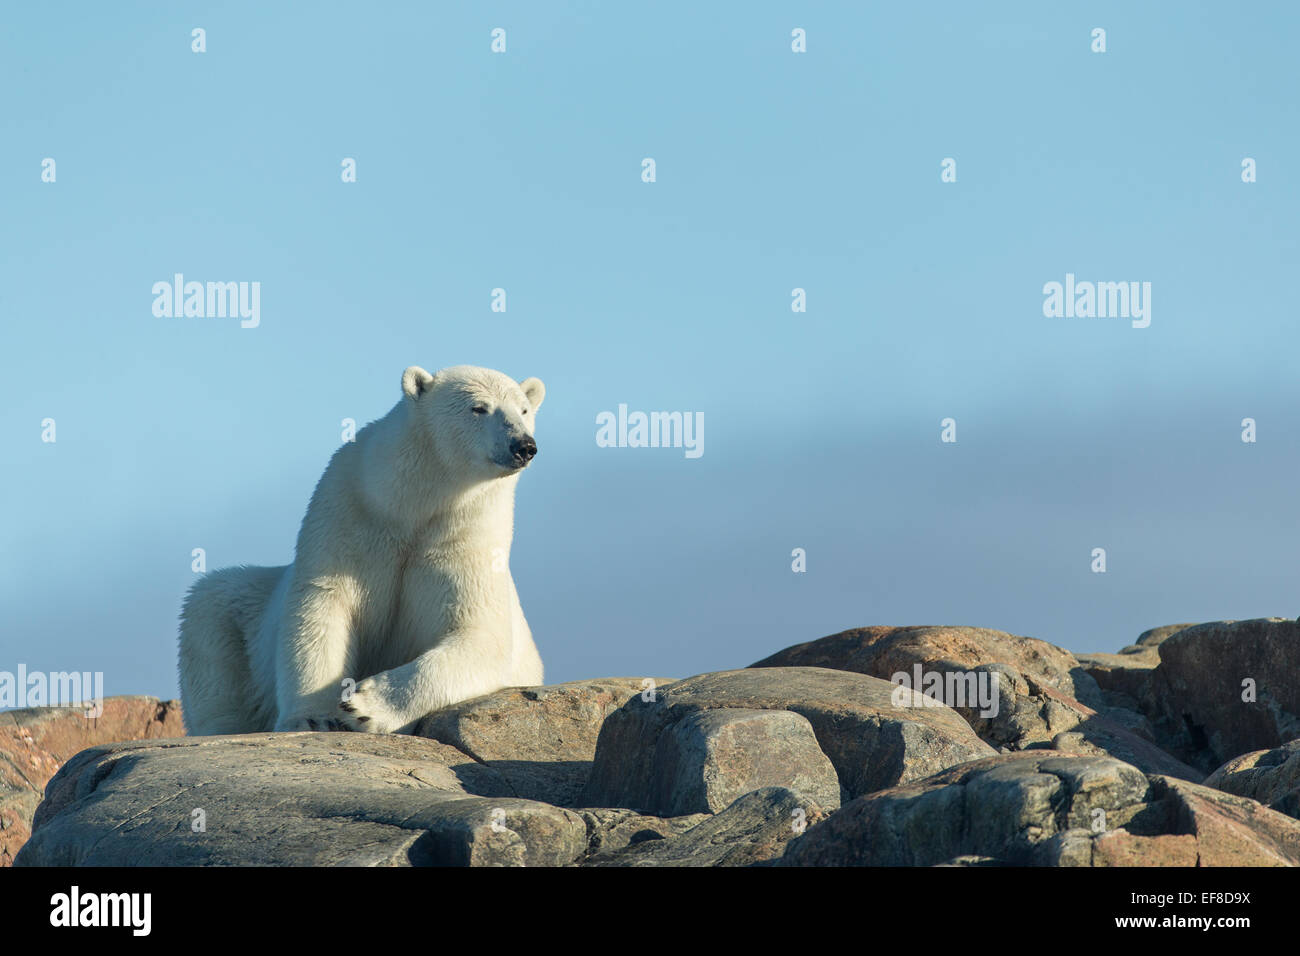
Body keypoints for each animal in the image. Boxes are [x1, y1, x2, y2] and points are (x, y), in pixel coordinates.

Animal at [178, 364, 546, 735]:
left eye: (523, 411)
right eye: (479, 407)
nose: (523, 446)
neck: (417, 506)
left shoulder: (468, 539)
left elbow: (479, 635)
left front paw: (366, 708)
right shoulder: (351, 509)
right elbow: (322, 607)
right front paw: (314, 716)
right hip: (244, 614)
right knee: (210, 615)